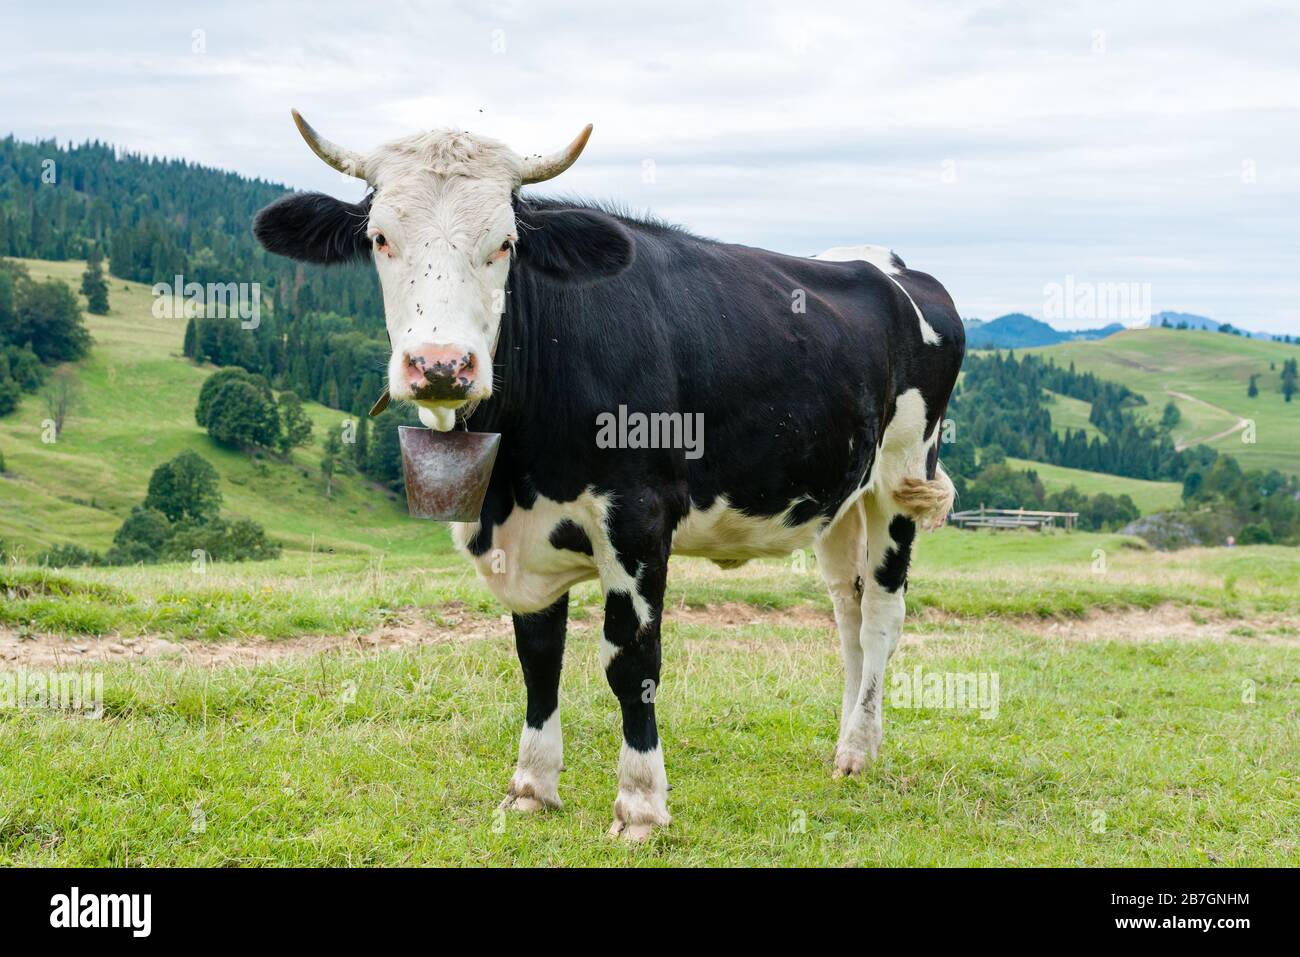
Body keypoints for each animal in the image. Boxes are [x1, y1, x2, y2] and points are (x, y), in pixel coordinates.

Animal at [253, 112, 964, 841]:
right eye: (380, 238)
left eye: (505, 244)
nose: (442, 365)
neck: (515, 474)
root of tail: (884, 264)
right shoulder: (522, 535)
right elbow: (539, 658)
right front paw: (532, 786)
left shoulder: (640, 516)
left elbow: (633, 663)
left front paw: (642, 803)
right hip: (840, 497)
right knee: (848, 609)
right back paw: (850, 743)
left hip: (902, 476)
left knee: (881, 614)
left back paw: (858, 748)